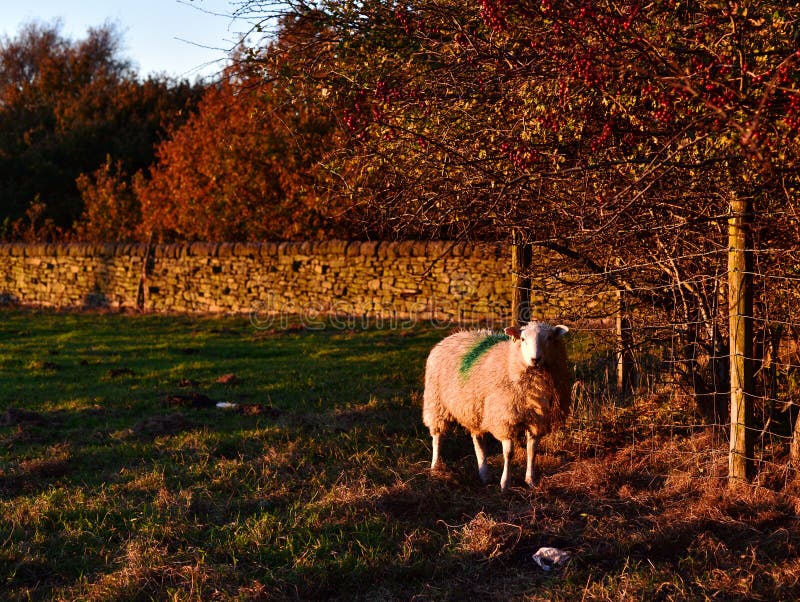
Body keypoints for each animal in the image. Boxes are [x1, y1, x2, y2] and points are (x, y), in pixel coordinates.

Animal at [422, 321, 571, 490]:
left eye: (549, 338)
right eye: (523, 339)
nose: (535, 359)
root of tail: (452, 336)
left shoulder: (537, 420)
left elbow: (531, 452)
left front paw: (530, 481)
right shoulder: (504, 419)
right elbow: (509, 453)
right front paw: (505, 483)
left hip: (474, 407)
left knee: (478, 439)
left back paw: (484, 474)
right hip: (436, 402)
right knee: (437, 437)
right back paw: (435, 466)